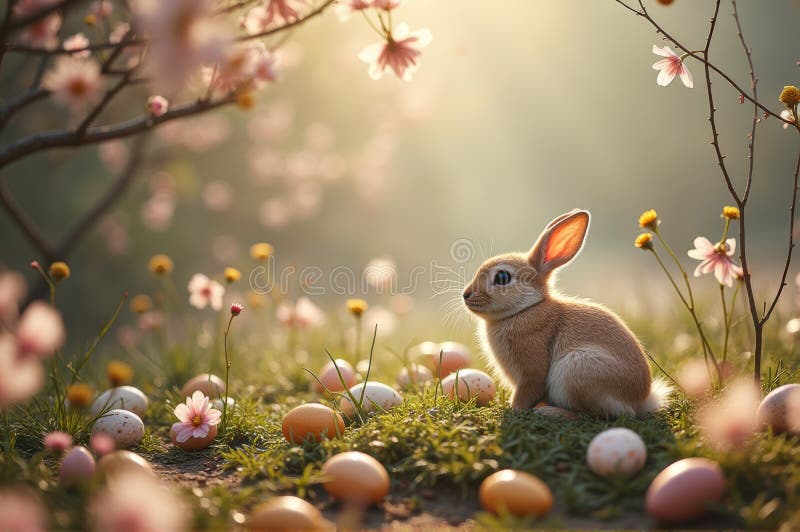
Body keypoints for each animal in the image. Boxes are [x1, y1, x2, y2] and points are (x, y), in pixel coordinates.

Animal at [462, 209, 670, 417]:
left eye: (502, 277)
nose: (466, 295)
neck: (526, 308)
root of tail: (640, 400)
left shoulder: (532, 370)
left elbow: (527, 390)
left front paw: (514, 408)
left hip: (575, 371)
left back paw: (549, 411)